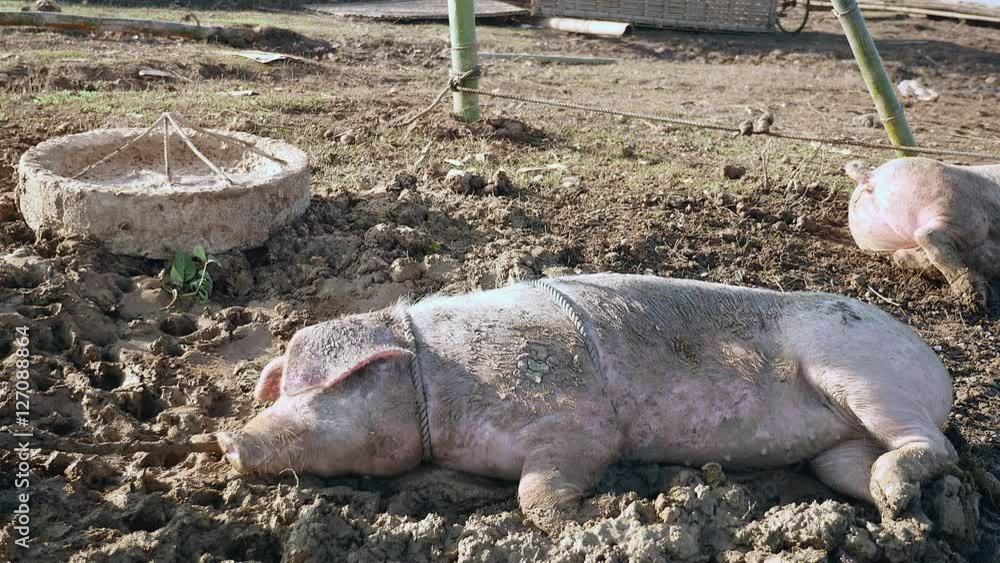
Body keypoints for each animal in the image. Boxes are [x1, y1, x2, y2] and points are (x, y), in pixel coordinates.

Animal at [217, 274, 955, 532]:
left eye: (329, 390)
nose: (228, 442)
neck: (436, 382)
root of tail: (939, 367)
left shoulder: (578, 423)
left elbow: (538, 492)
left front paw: (593, 514)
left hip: (862, 374)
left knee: (936, 447)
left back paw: (899, 494)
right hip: (836, 443)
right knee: (864, 465)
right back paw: (896, 511)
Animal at [846, 157, 1000, 309]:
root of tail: (871, 175)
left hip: (879, 243)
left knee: (902, 256)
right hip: (961, 210)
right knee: (926, 236)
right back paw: (977, 294)